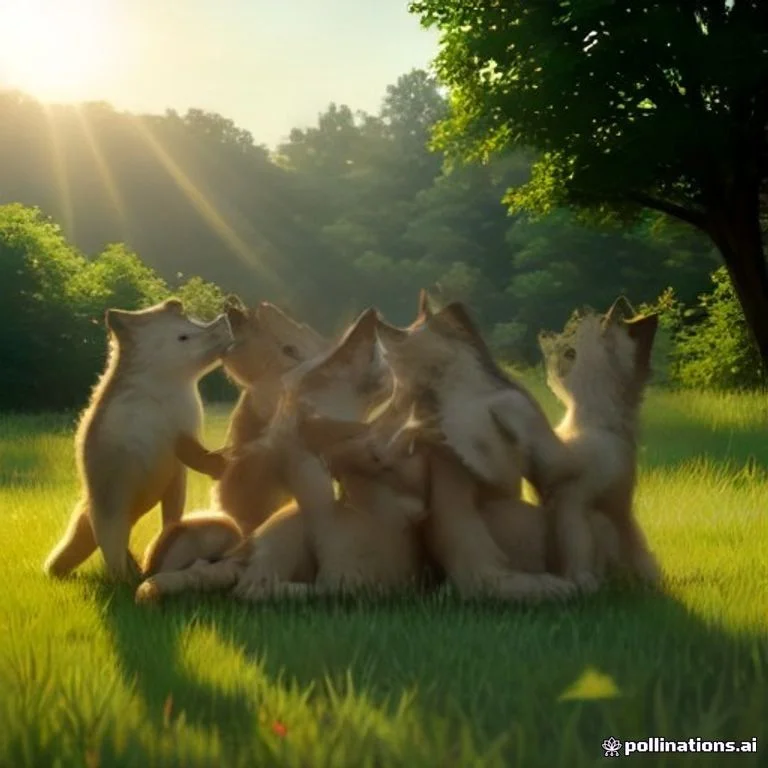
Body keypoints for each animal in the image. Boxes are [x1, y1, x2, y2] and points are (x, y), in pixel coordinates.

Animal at [43, 299, 233, 581]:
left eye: (194, 321)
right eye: (183, 336)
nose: (224, 320)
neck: (162, 388)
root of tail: (87, 506)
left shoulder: (184, 439)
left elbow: (195, 455)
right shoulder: (166, 435)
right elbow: (191, 453)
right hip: (108, 511)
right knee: (114, 555)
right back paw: (128, 578)